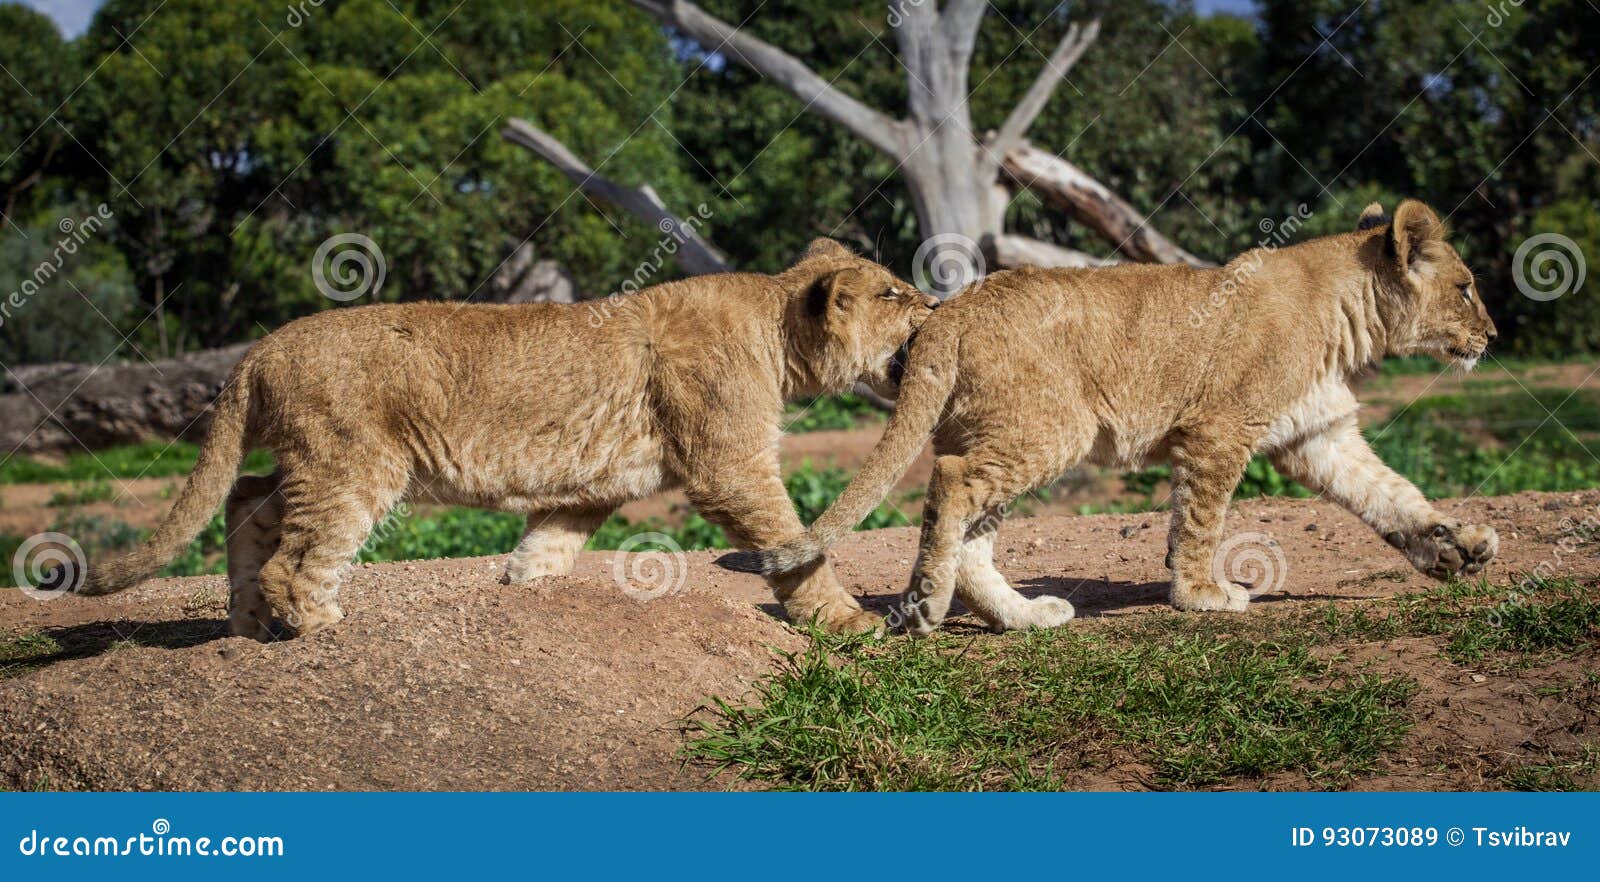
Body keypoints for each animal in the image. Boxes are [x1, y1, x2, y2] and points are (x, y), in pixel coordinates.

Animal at [46, 239, 936, 640]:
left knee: (245, 498)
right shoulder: (730, 466)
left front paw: (525, 592)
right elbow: (793, 540)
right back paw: (319, 626)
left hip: (306, 458)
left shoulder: (595, 485)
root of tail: (257, 350)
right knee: (294, 558)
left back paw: (244, 626)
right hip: (352, 464)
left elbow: (549, 544)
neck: (776, 330)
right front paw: (845, 621)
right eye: (895, 294)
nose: (935, 303)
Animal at [743, 200, 1500, 634]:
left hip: (1003, 429)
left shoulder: (1320, 437)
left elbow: (1392, 496)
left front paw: (1455, 545)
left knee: (973, 532)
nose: (1492, 335)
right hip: (1051, 427)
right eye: (1466, 288)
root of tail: (952, 308)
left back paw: (1023, 616)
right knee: (952, 482)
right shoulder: (1218, 430)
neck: (1348, 319)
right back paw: (928, 602)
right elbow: (1200, 522)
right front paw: (1201, 594)